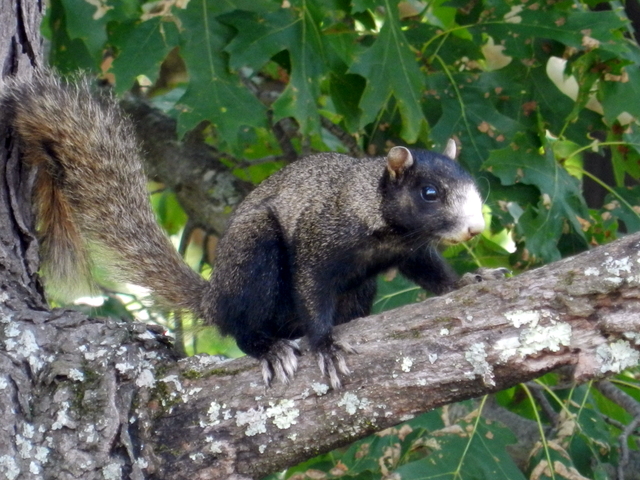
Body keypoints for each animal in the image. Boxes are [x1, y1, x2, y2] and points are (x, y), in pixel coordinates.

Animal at [2, 70, 487, 389]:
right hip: (254, 254)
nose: (476, 229)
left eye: (471, 181)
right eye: (429, 193)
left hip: (356, 291)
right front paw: (326, 346)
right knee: (242, 326)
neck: (382, 222)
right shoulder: (320, 239)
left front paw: (468, 281)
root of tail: (215, 297)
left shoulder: (411, 249)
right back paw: (267, 347)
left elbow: (432, 273)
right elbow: (312, 291)